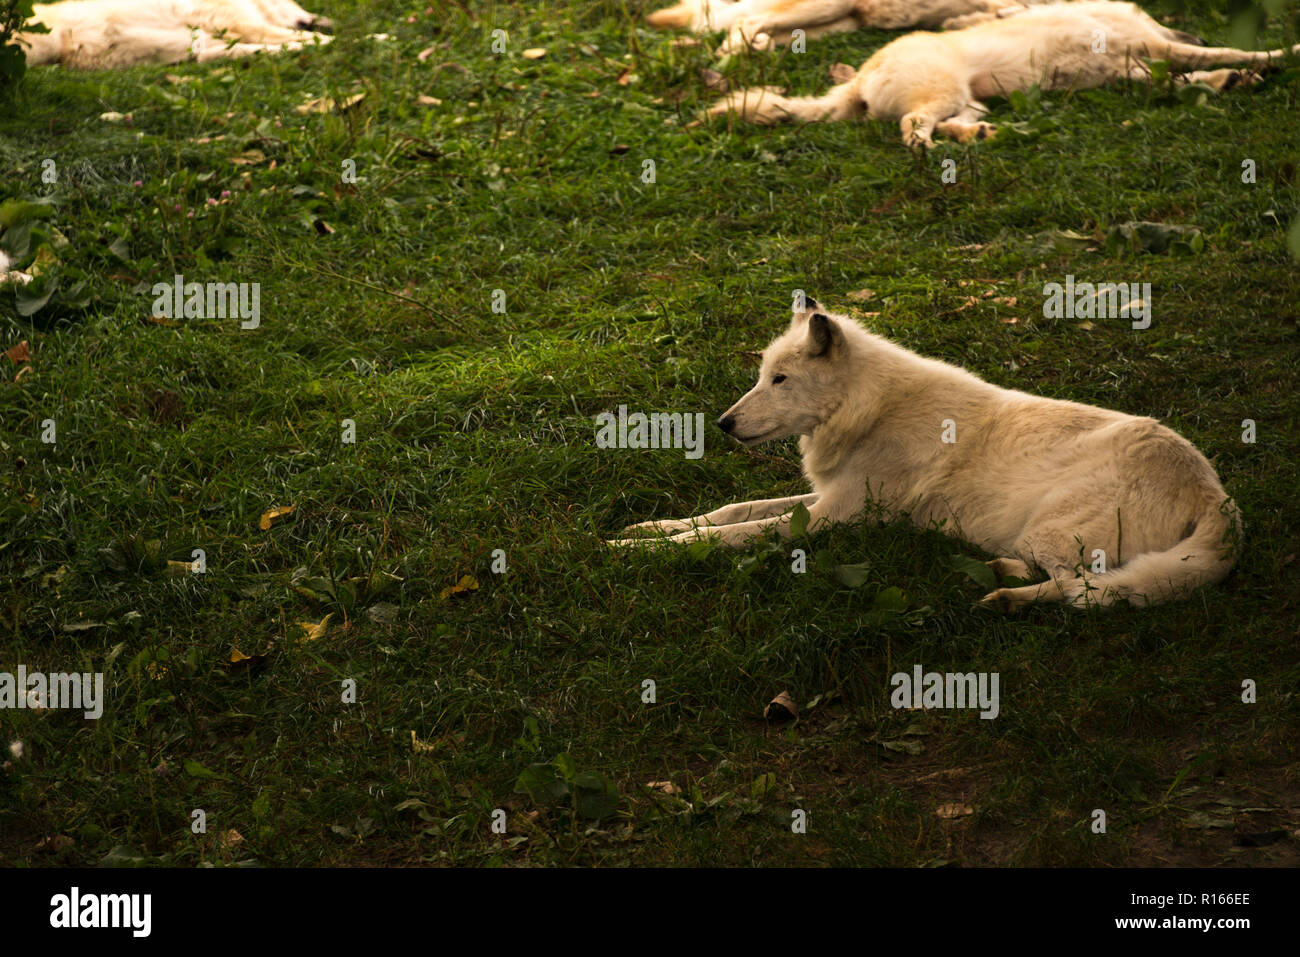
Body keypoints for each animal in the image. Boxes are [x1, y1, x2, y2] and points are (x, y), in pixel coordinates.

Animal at [609, 297, 1241, 611]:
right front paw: (649, 528)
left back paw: (1007, 599)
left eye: (780, 380)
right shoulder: (822, 495)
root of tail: (1217, 499)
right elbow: (731, 511)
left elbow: (731, 535)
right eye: (763, 376)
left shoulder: (834, 516)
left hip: (1052, 529)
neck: (869, 410)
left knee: (1083, 591)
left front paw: (639, 552)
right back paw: (1000, 571)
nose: (723, 423)